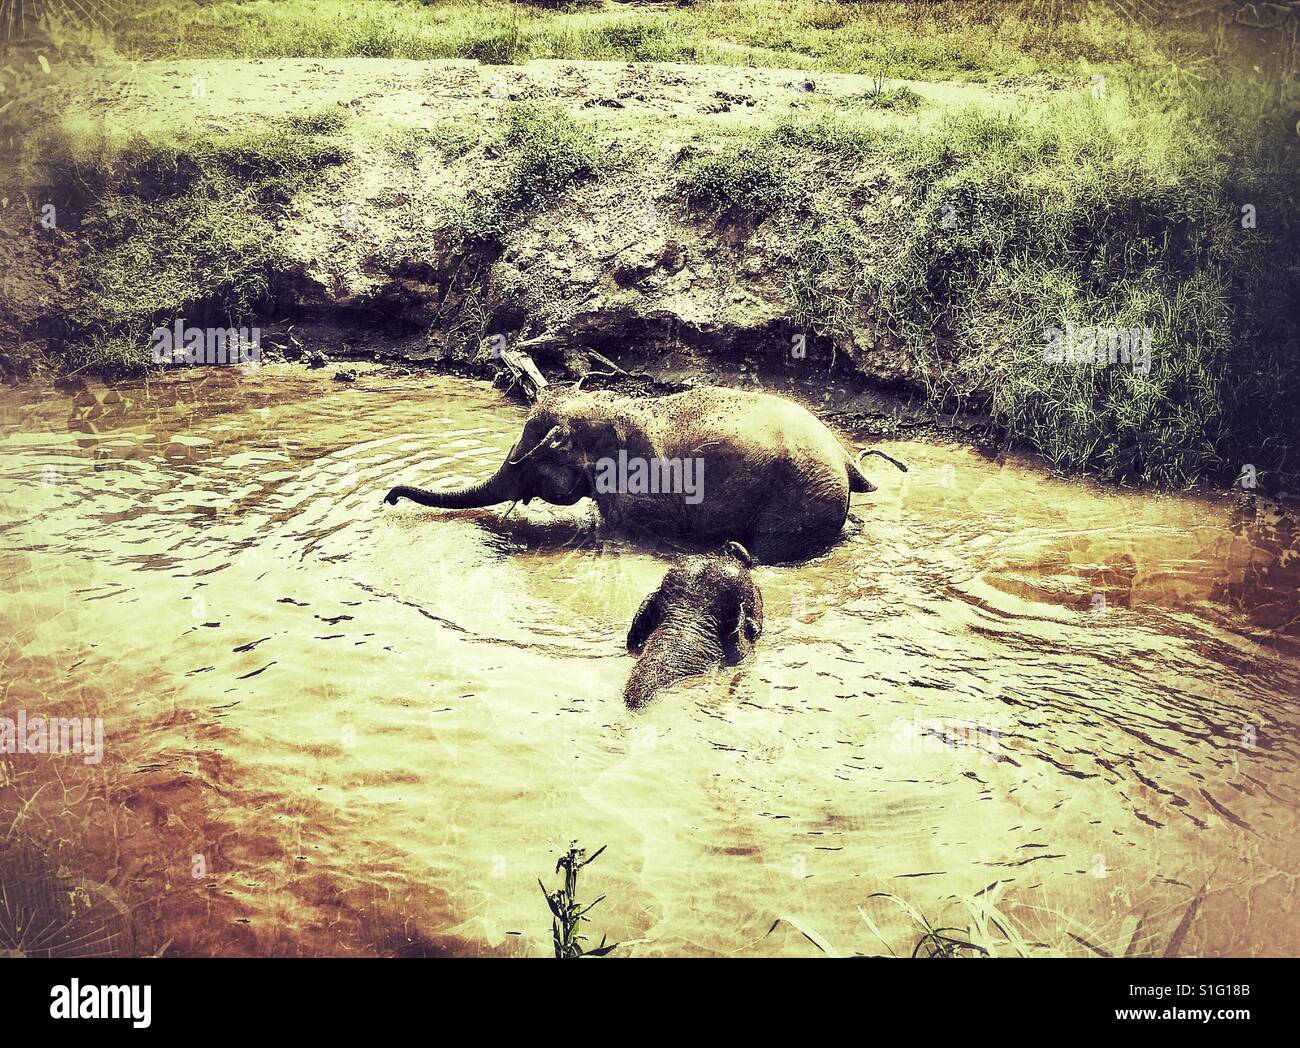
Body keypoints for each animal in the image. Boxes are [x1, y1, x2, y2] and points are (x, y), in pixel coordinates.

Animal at [383, 385, 905, 564]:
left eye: (525, 459)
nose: (389, 498)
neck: (606, 406)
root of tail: (845, 457)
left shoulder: (639, 491)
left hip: (798, 500)